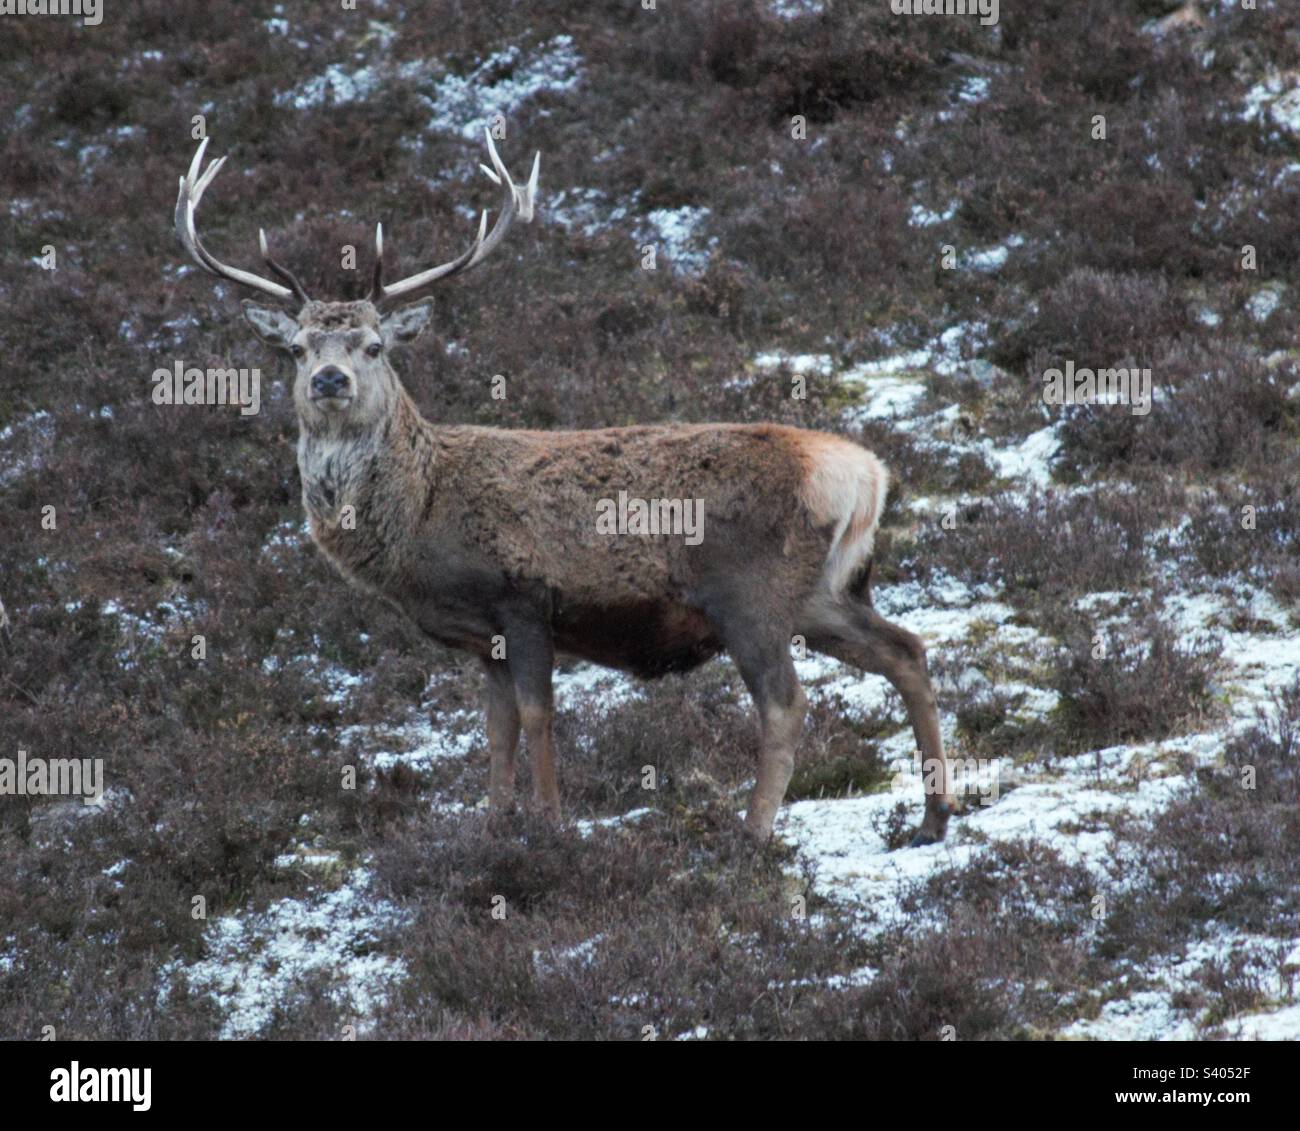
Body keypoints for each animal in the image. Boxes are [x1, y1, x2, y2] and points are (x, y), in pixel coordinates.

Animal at [173, 131, 957, 847]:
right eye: (296, 347)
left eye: (375, 345)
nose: (329, 379)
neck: (423, 514)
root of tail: (865, 475)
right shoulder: (481, 636)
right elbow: (494, 730)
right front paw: (493, 824)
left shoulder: (522, 598)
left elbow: (537, 716)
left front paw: (551, 826)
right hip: (826, 591)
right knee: (905, 650)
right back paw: (933, 815)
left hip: (750, 590)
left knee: (786, 703)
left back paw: (752, 833)